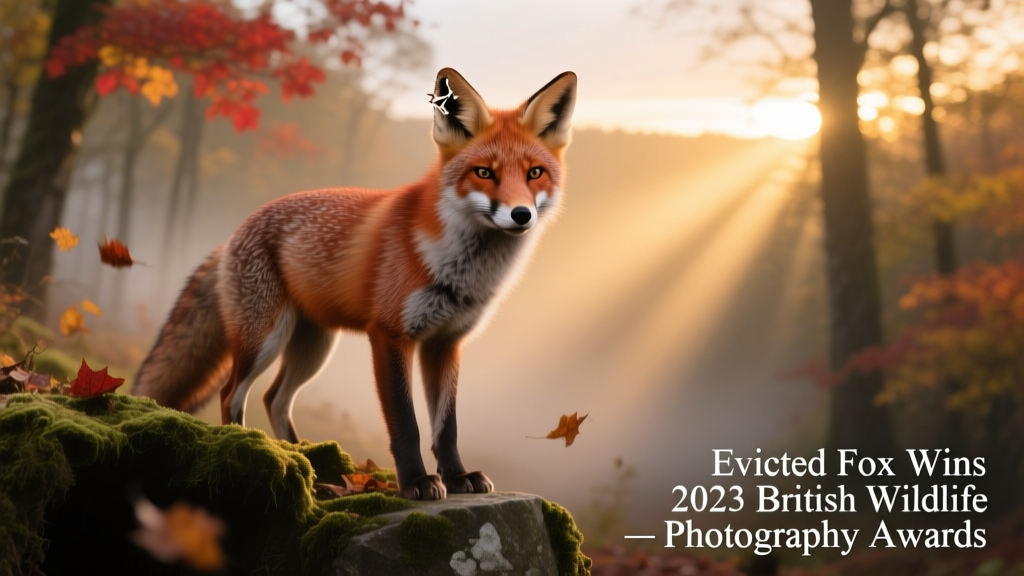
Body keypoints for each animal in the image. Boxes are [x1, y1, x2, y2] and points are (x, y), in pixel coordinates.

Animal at [132, 68, 577, 500]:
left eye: (534, 174)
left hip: (313, 349)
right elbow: (406, 424)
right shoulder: (390, 335)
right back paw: (250, 450)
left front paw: (457, 477)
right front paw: (416, 483)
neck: (459, 268)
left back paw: (301, 455)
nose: (521, 215)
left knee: (274, 399)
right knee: (232, 394)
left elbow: (446, 427)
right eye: (484, 173)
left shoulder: (445, 343)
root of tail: (231, 234)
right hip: (265, 339)